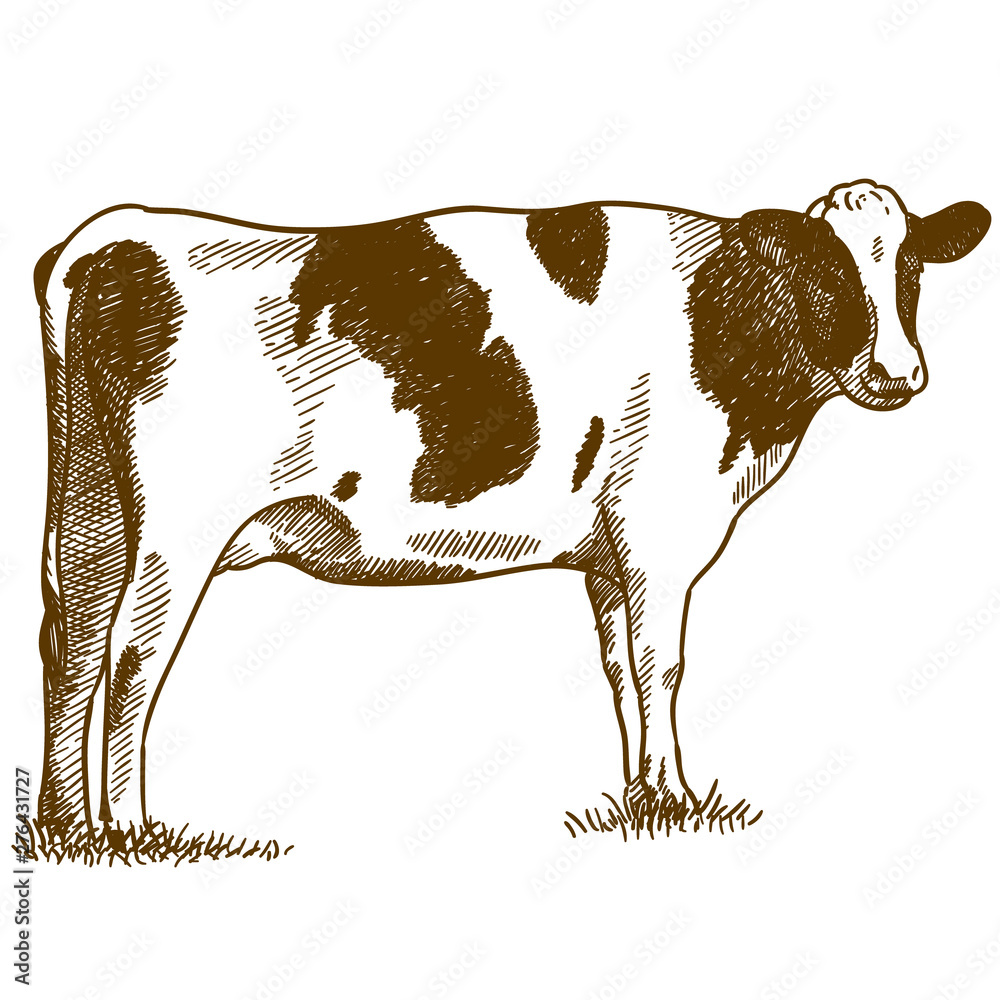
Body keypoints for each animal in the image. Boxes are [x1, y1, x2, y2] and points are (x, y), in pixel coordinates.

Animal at [35, 180, 989, 843]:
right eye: (826, 273)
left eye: (908, 269)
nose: (901, 374)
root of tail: (114, 236)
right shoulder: (658, 533)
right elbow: (662, 665)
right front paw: (679, 797)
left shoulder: (606, 550)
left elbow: (618, 668)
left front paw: (641, 798)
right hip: (177, 527)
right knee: (127, 656)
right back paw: (130, 825)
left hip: (90, 502)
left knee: (71, 637)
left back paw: (64, 823)